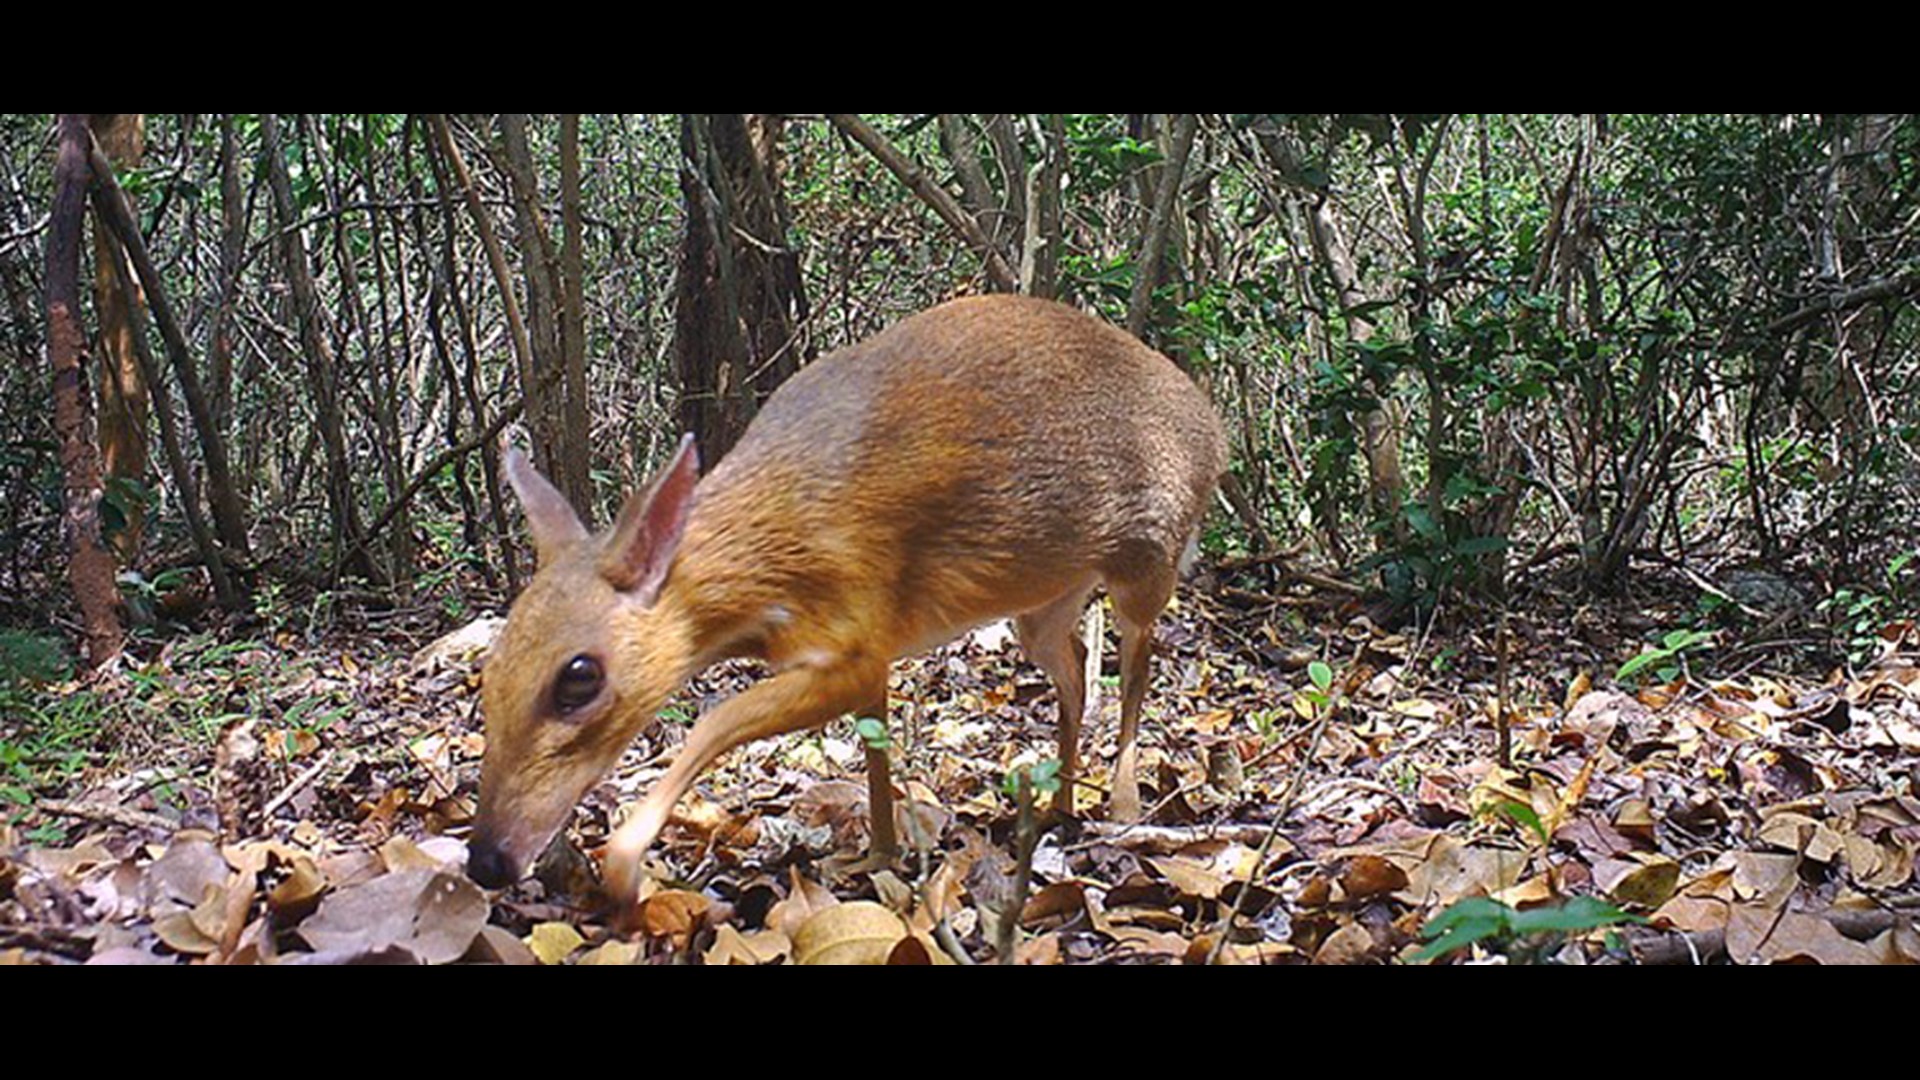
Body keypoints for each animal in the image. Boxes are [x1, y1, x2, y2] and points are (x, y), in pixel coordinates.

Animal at [466, 294, 1227, 902]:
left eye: (579, 678)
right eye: (489, 671)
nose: (485, 861)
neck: (774, 549)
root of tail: (1214, 424)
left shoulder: (855, 632)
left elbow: (714, 723)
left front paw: (624, 867)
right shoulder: (872, 649)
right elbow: (874, 745)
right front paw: (881, 854)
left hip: (1150, 556)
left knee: (1136, 665)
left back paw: (1121, 804)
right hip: (1043, 600)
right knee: (1072, 667)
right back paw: (1057, 805)